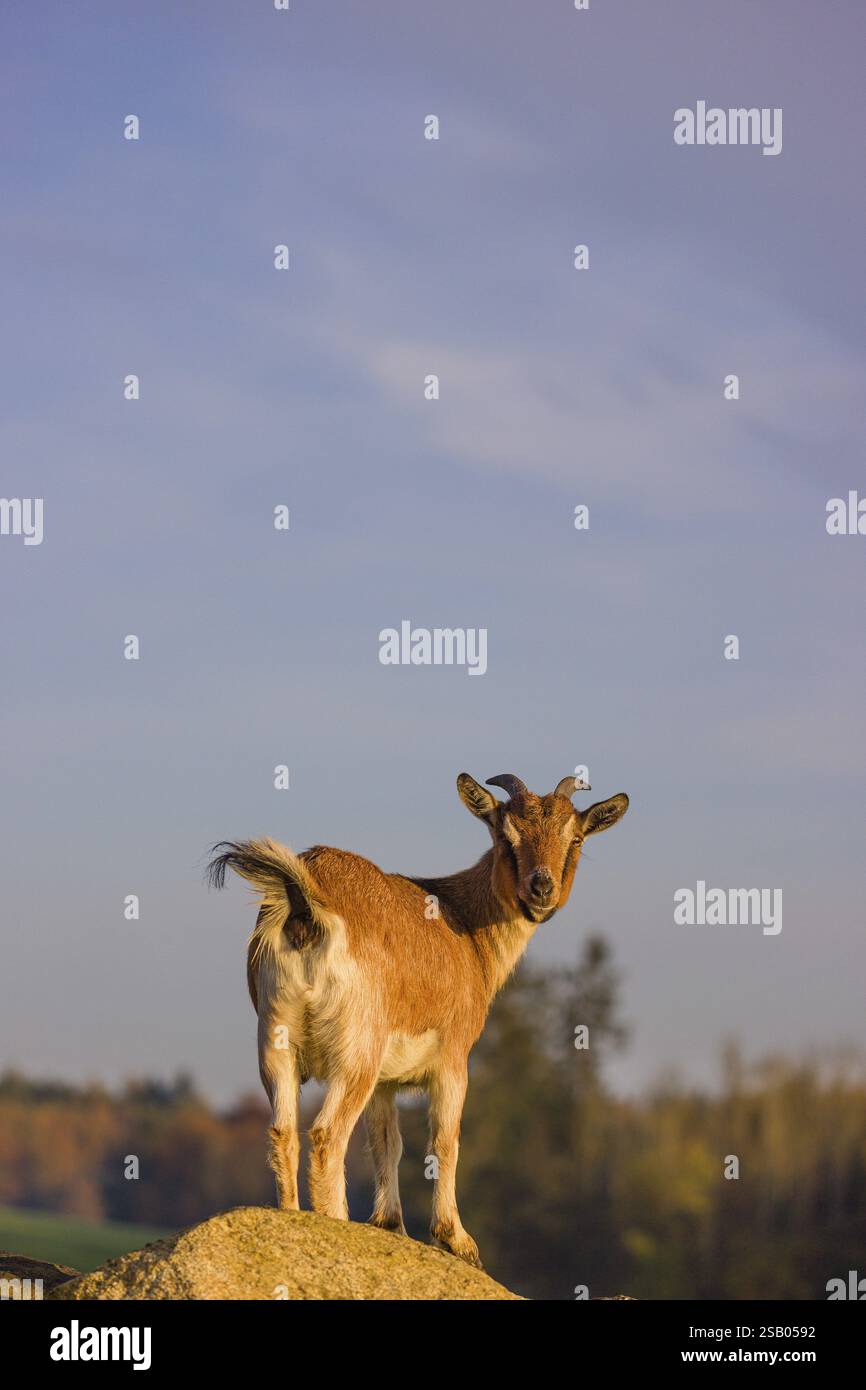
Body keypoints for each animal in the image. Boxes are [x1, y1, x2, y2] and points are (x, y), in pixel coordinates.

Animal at [208, 771, 628, 1266]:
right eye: (505, 836)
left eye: (575, 838)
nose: (541, 889)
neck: (464, 926)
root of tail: (305, 903)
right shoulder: (453, 1059)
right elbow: (445, 1140)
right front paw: (457, 1240)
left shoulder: (384, 1082)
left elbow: (387, 1142)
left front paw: (390, 1224)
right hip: (356, 1052)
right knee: (328, 1135)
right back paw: (335, 1225)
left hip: (276, 1041)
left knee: (283, 1130)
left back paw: (293, 1218)